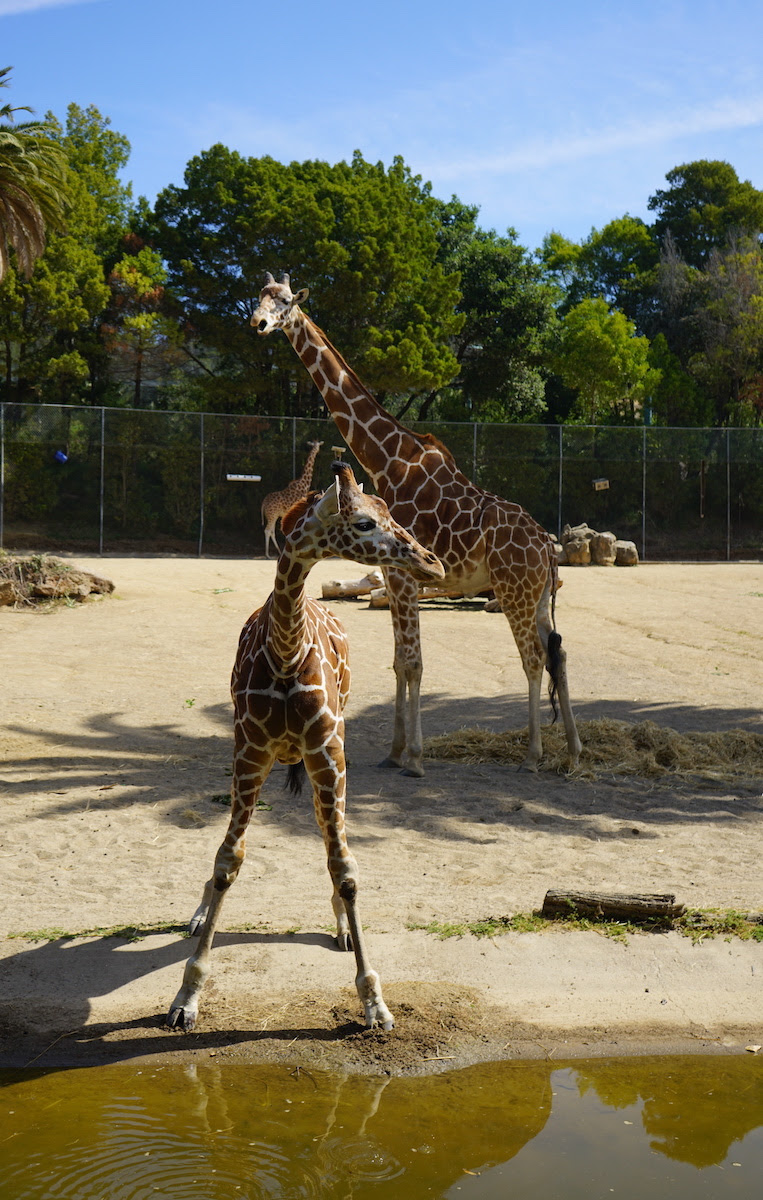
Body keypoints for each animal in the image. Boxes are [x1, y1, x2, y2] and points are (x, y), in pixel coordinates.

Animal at [166, 461, 444, 1033]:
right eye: (363, 522)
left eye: (390, 511)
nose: (434, 562)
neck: (286, 654)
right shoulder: (249, 752)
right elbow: (228, 860)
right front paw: (187, 995)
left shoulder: (328, 753)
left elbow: (346, 867)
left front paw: (374, 1001)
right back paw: (200, 914)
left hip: (324, 761)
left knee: (327, 834)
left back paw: (341, 928)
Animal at [251, 272, 582, 778]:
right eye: (258, 298)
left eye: (286, 301)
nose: (259, 323)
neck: (386, 456)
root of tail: (547, 548)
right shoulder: (392, 574)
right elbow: (397, 663)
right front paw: (394, 750)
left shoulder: (405, 576)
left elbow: (414, 662)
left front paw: (416, 758)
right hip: (540, 595)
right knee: (558, 653)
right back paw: (575, 750)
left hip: (514, 592)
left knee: (532, 657)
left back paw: (532, 755)